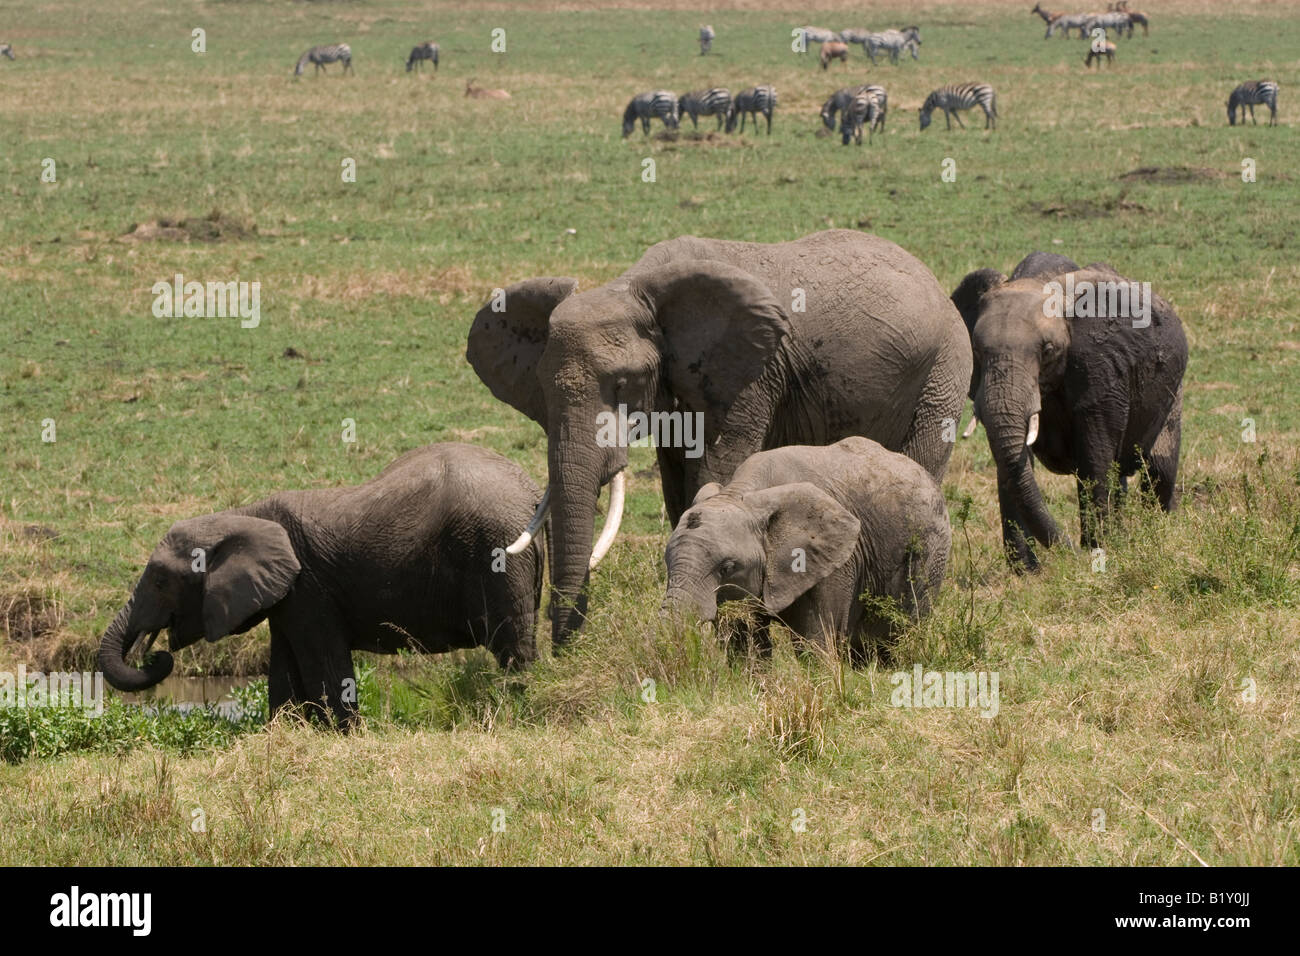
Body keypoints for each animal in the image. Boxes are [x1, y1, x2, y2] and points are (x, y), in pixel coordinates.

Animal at [97, 443, 544, 727]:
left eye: (160, 579)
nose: (155, 656)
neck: (241, 514)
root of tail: (530, 492)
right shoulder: (287, 595)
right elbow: (284, 668)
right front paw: (282, 733)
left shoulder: (309, 588)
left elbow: (323, 668)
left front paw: (342, 735)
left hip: (495, 552)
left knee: (512, 646)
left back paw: (518, 712)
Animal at [661, 437, 950, 656]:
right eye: (667, 563)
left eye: (728, 567)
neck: (744, 492)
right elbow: (746, 640)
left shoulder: (835, 561)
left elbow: (814, 640)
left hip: (931, 550)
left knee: (902, 630)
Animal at [950, 253, 1188, 570]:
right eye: (976, 350)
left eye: (1048, 350)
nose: (1070, 552)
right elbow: (1013, 463)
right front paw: (1026, 572)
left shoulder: (1100, 367)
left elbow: (1094, 456)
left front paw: (1096, 554)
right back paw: (1124, 539)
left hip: (1175, 393)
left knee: (1159, 469)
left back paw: (1155, 536)